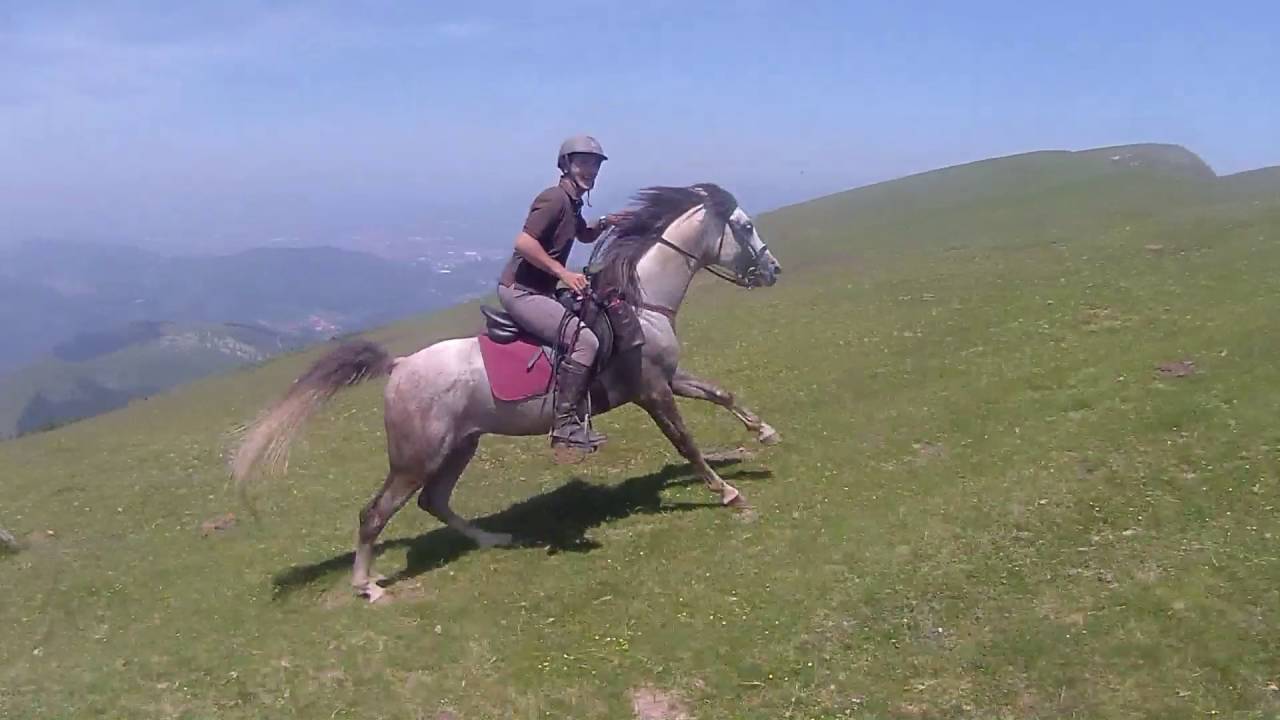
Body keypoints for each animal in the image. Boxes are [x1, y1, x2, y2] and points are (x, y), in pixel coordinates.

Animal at [231, 183, 783, 601]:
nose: (773, 270)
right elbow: (686, 443)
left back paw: (492, 538)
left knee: (434, 501)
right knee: (375, 514)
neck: (640, 304)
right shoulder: (651, 391)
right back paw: (367, 587)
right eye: (746, 226)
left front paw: (764, 435)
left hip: (460, 445)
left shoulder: (667, 379)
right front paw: (728, 492)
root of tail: (401, 365)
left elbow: (721, 394)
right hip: (415, 457)